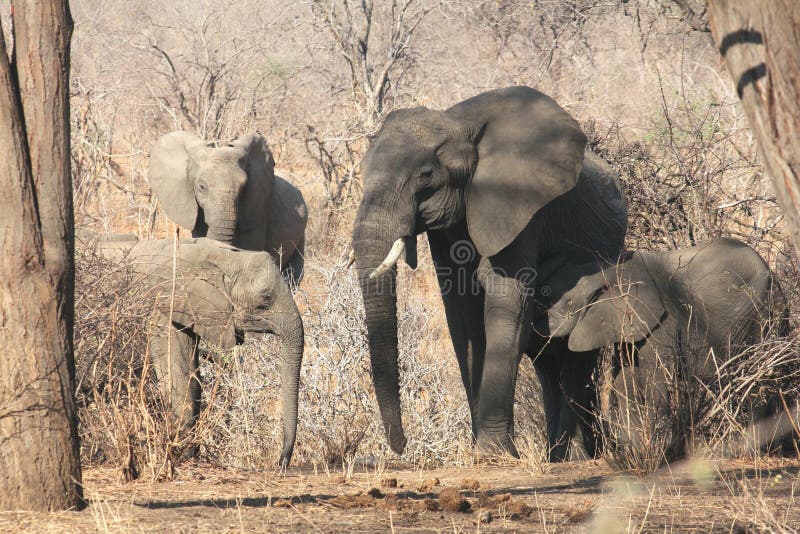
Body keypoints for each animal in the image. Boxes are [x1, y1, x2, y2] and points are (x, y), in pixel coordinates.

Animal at [120, 237, 304, 466]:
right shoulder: (162, 304)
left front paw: (189, 456)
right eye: (265, 299)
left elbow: (191, 377)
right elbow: (178, 377)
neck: (225, 258)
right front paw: (182, 457)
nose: (280, 462)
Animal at [351, 86, 628, 459]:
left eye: (426, 175)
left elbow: (505, 301)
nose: (402, 446)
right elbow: (462, 315)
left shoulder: (522, 207)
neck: (458, 123)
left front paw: (494, 452)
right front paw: (479, 448)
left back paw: (576, 456)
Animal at [539, 237, 790, 457]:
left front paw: (655, 449)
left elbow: (653, 380)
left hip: (760, 316)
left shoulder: (662, 321)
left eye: (567, 303)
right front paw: (635, 450)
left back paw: (750, 449)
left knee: (759, 384)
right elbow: (625, 381)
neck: (608, 269)